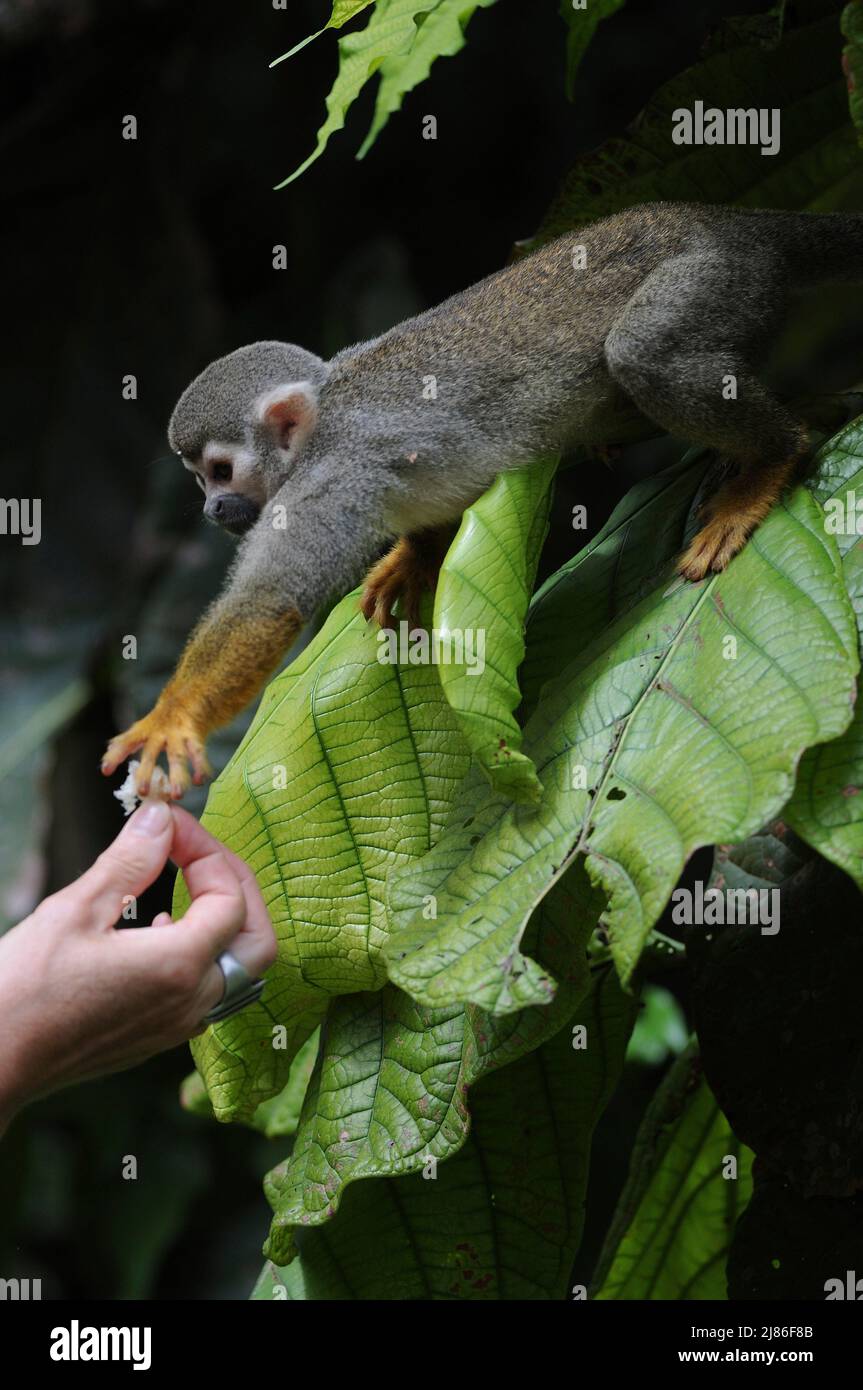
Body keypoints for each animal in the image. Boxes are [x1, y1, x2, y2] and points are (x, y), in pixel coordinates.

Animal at [102, 200, 863, 799]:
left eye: (220, 471)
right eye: (198, 480)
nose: (210, 510)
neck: (326, 412)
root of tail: (732, 218)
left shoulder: (333, 475)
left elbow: (272, 599)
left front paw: (170, 718)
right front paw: (413, 556)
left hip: (714, 276)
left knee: (641, 353)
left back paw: (772, 457)